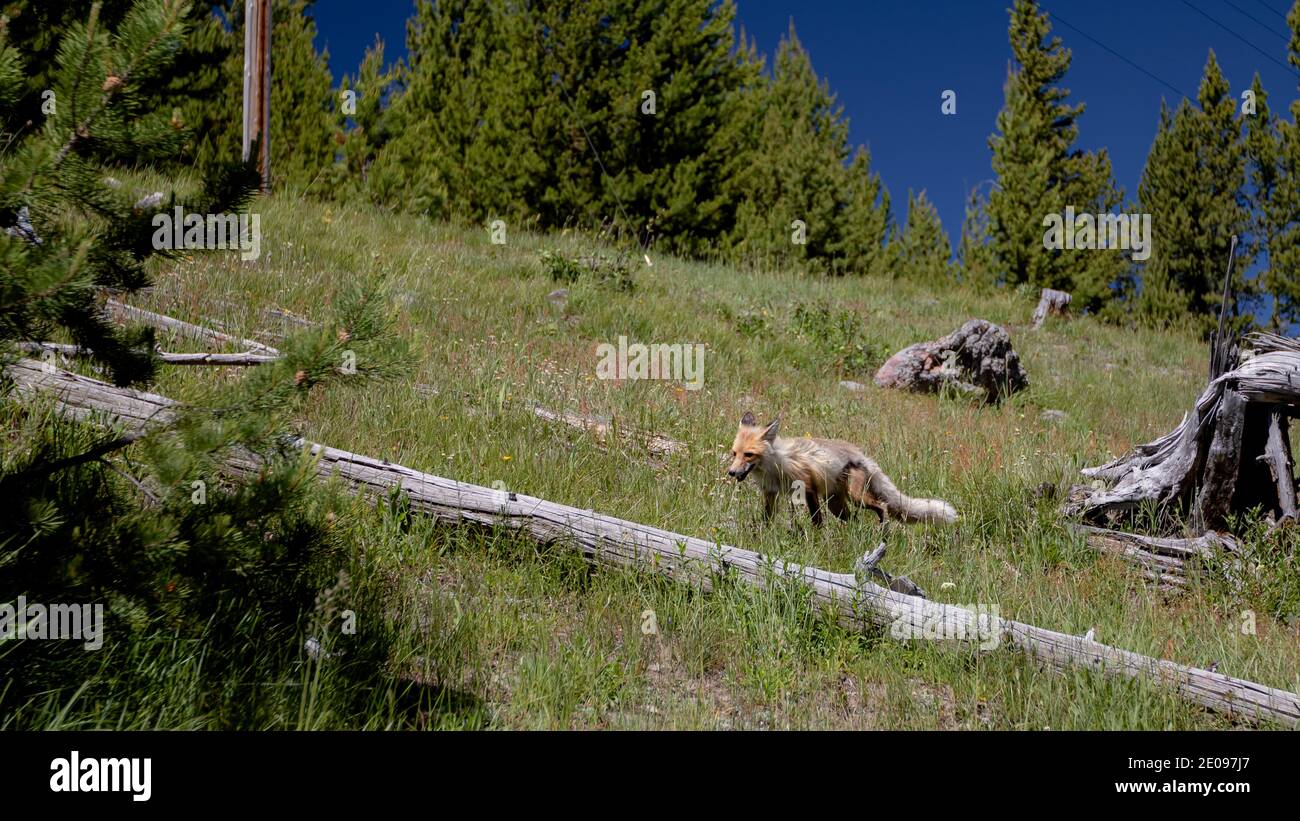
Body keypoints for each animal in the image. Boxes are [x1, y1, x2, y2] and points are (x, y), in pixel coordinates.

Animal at [726, 412, 957, 526]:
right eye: (734, 453)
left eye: (749, 454)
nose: (731, 472)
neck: (775, 466)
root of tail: (861, 455)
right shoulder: (770, 494)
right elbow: (767, 519)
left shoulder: (807, 487)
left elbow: (816, 520)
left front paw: (816, 540)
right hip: (836, 505)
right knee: (854, 519)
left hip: (856, 498)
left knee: (882, 507)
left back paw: (883, 532)